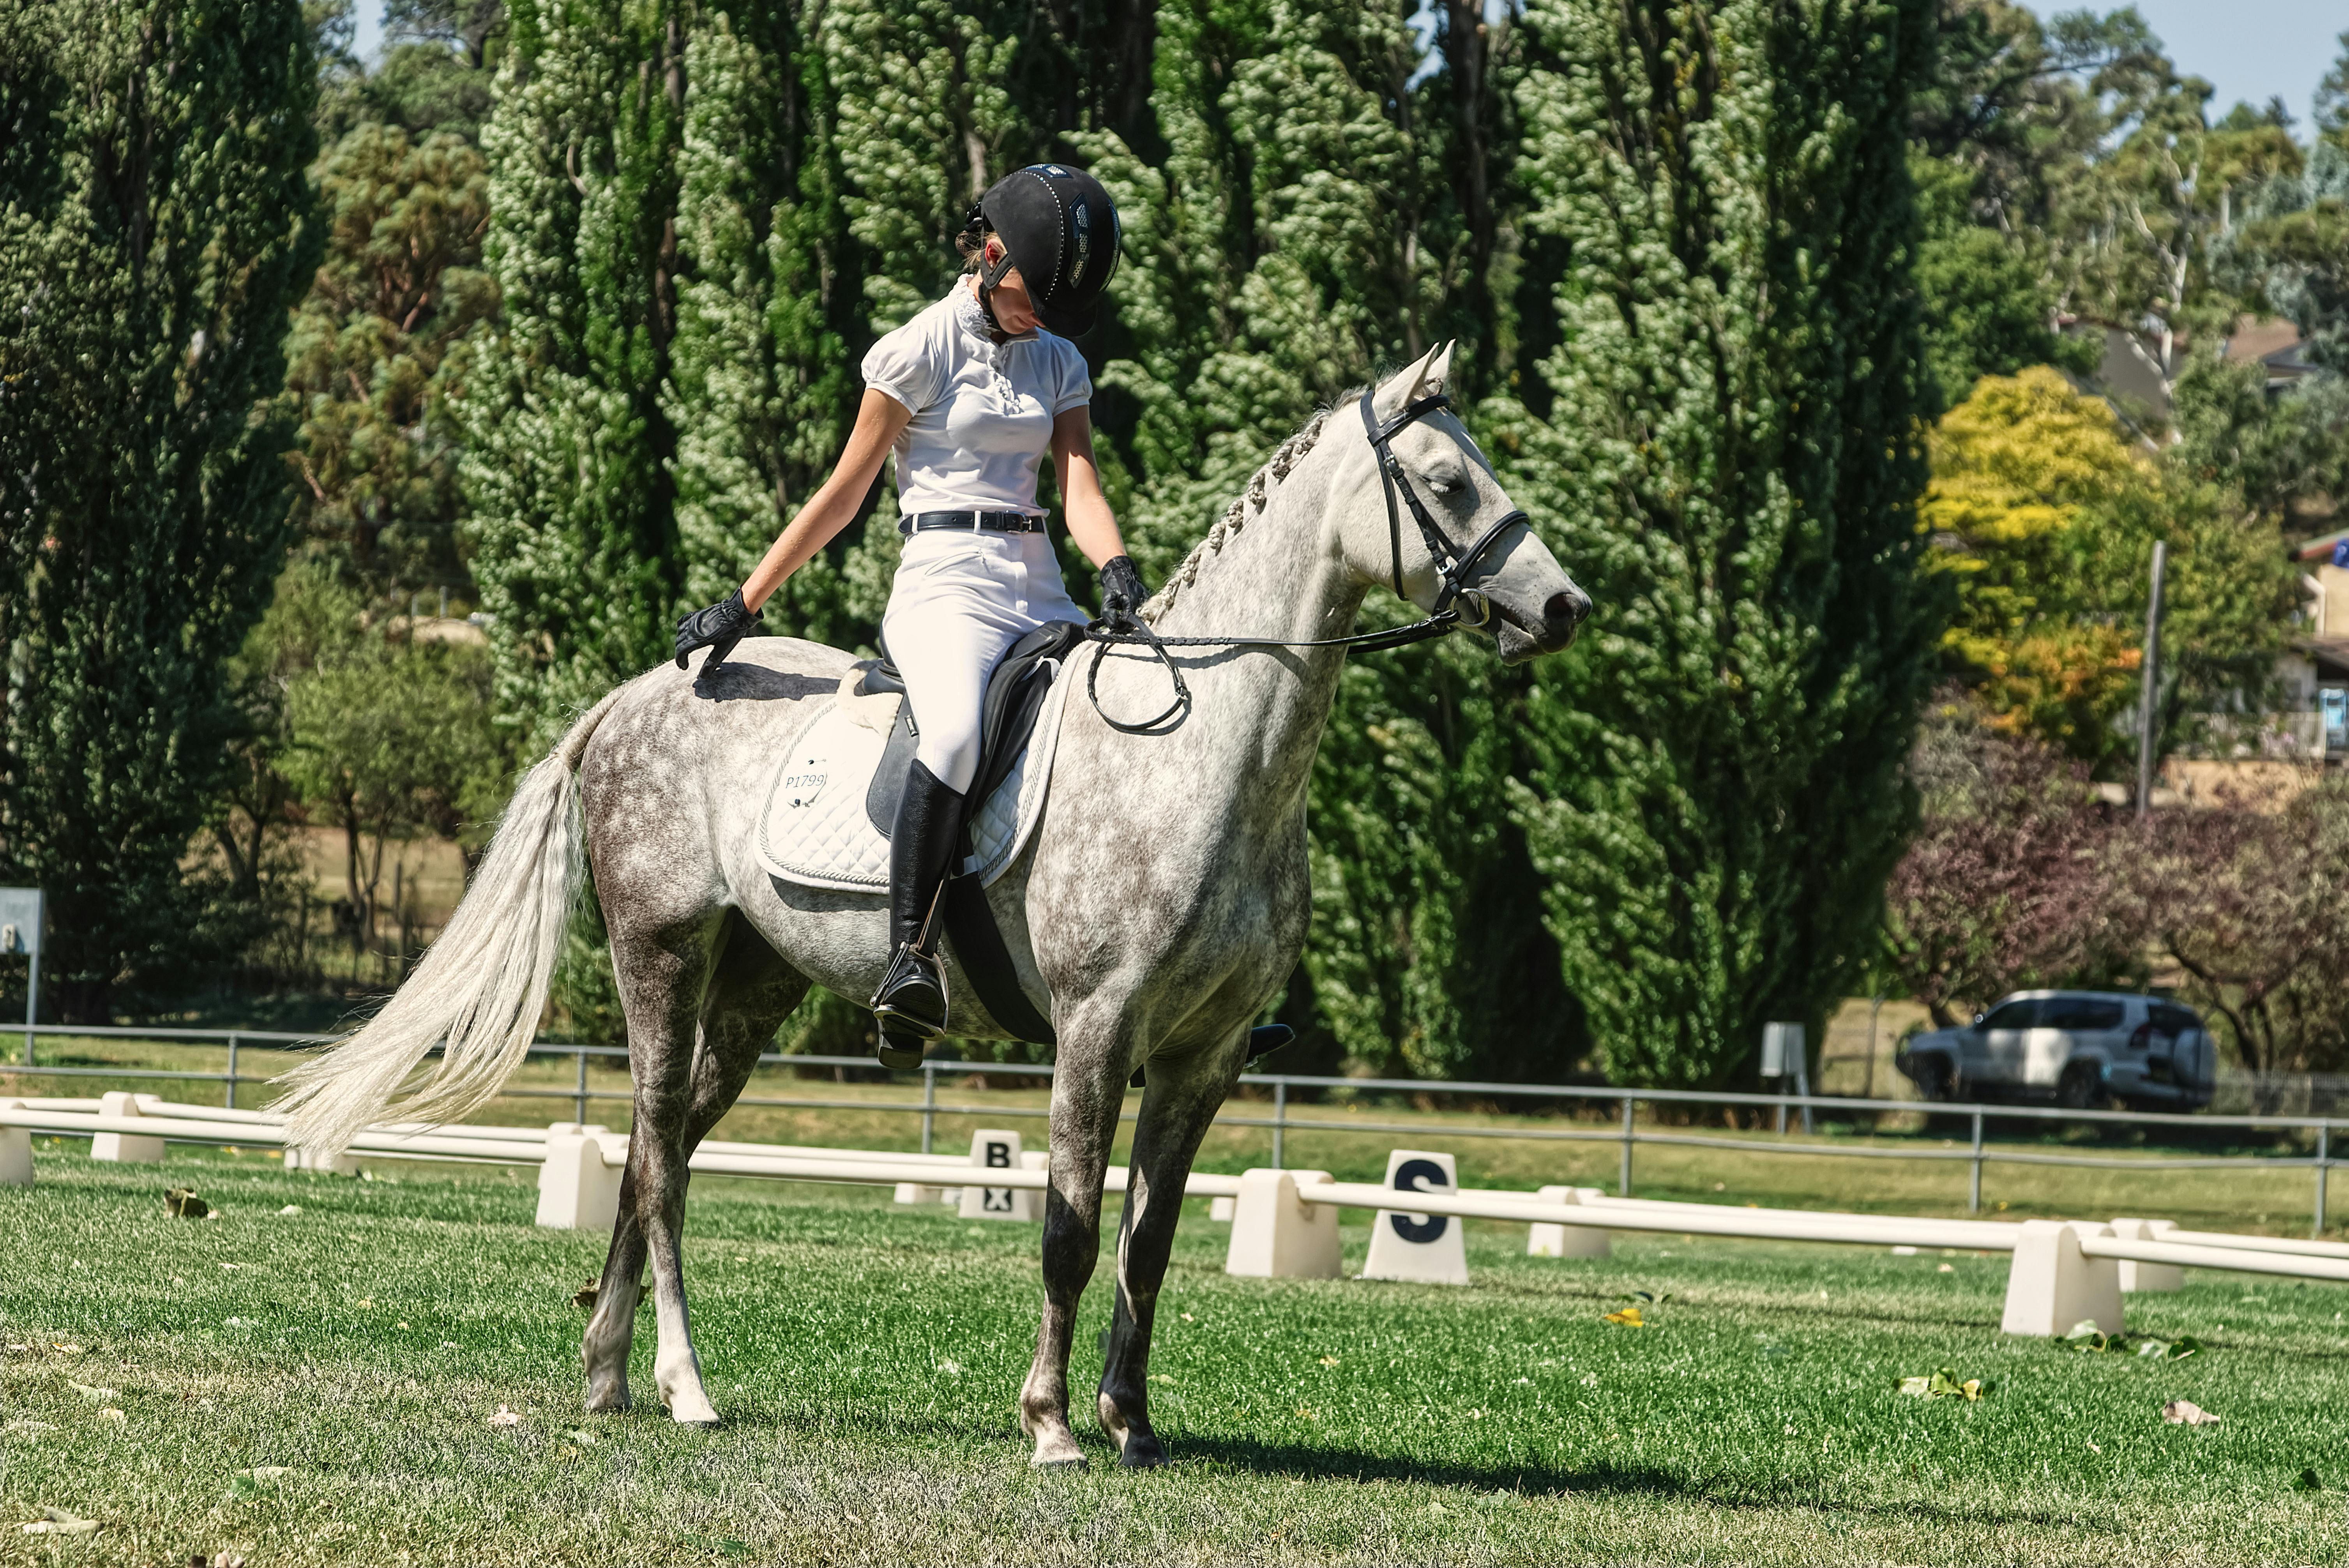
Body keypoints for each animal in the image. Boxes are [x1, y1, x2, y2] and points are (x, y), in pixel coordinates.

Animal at [276, 340, 1590, 1467]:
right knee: (652, 1158)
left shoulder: (1205, 1054)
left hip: (751, 989)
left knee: (666, 1154)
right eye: (1446, 482)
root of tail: (640, 692)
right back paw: (684, 1384)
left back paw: (609, 1374)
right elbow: (1068, 1228)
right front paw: (1051, 1426)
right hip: (660, 952)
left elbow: (1151, 1242)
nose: (1563, 610)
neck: (1207, 753)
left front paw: (1132, 1424)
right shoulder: (1096, 1028)